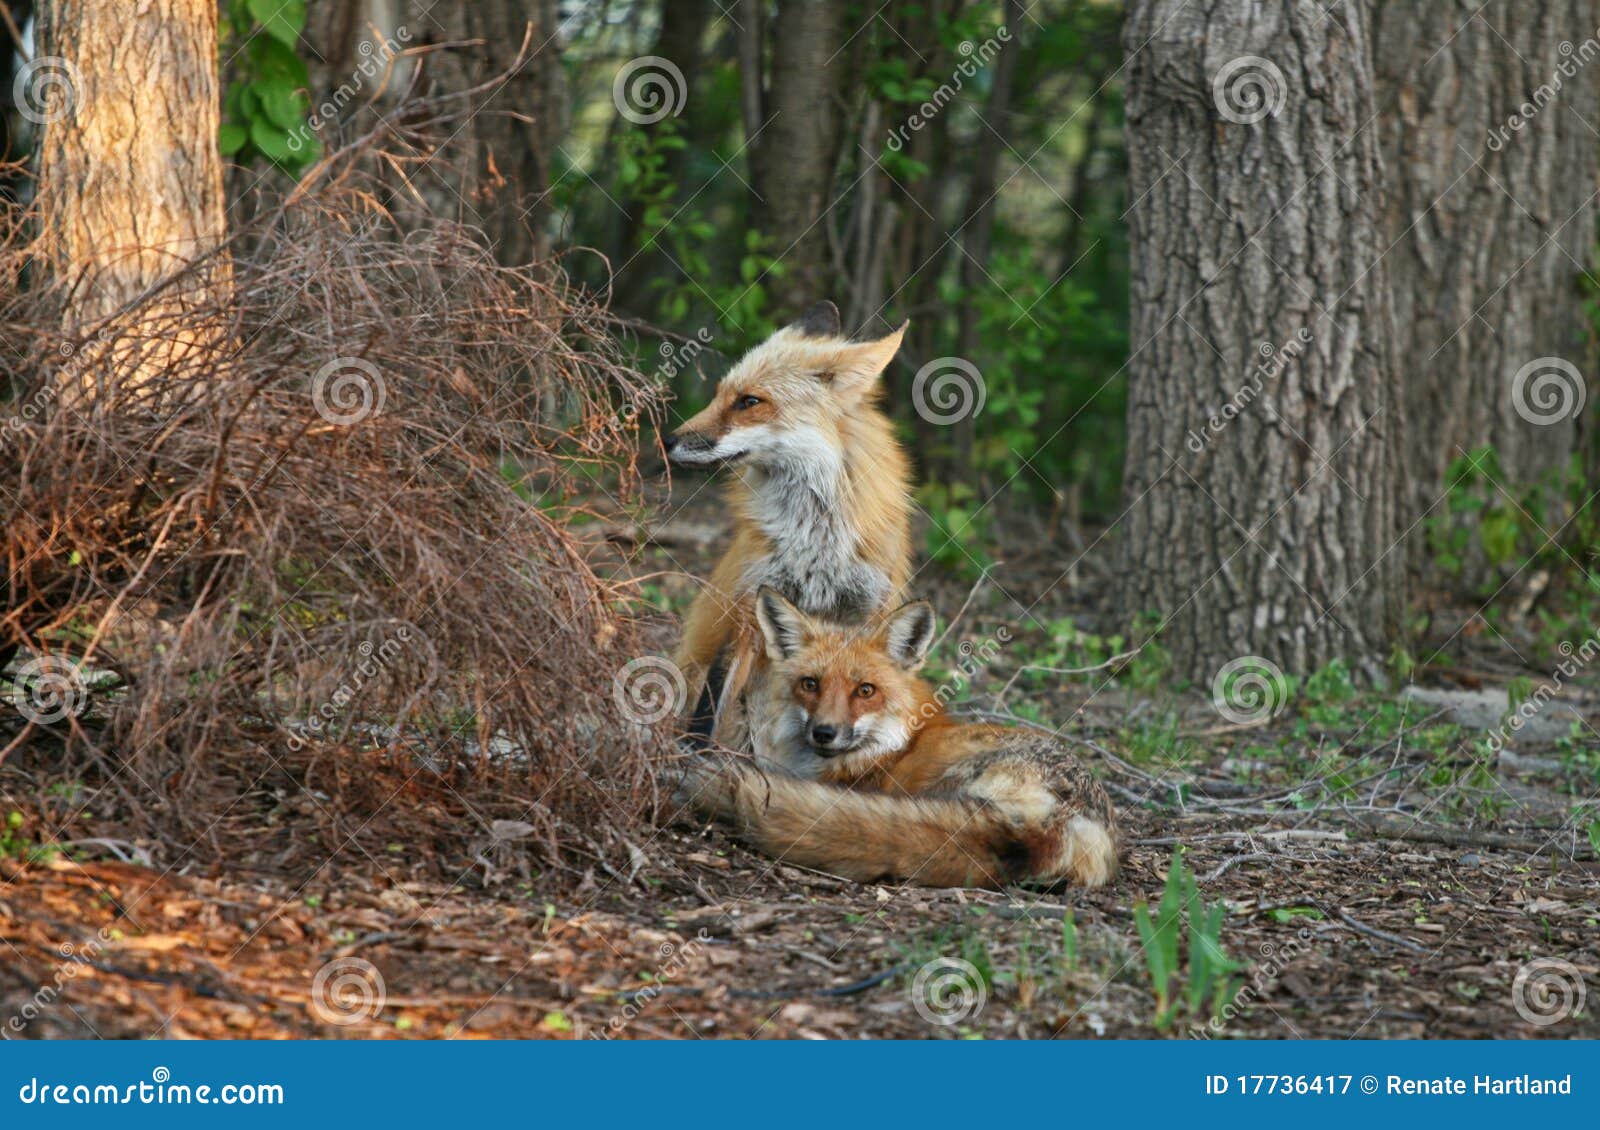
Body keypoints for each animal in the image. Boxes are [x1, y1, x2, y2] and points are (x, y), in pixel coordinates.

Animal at [665, 301, 914, 744]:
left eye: (749, 401)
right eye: (719, 395)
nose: (667, 440)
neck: (815, 538)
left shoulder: (869, 612)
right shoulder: (748, 612)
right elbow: (709, 714)